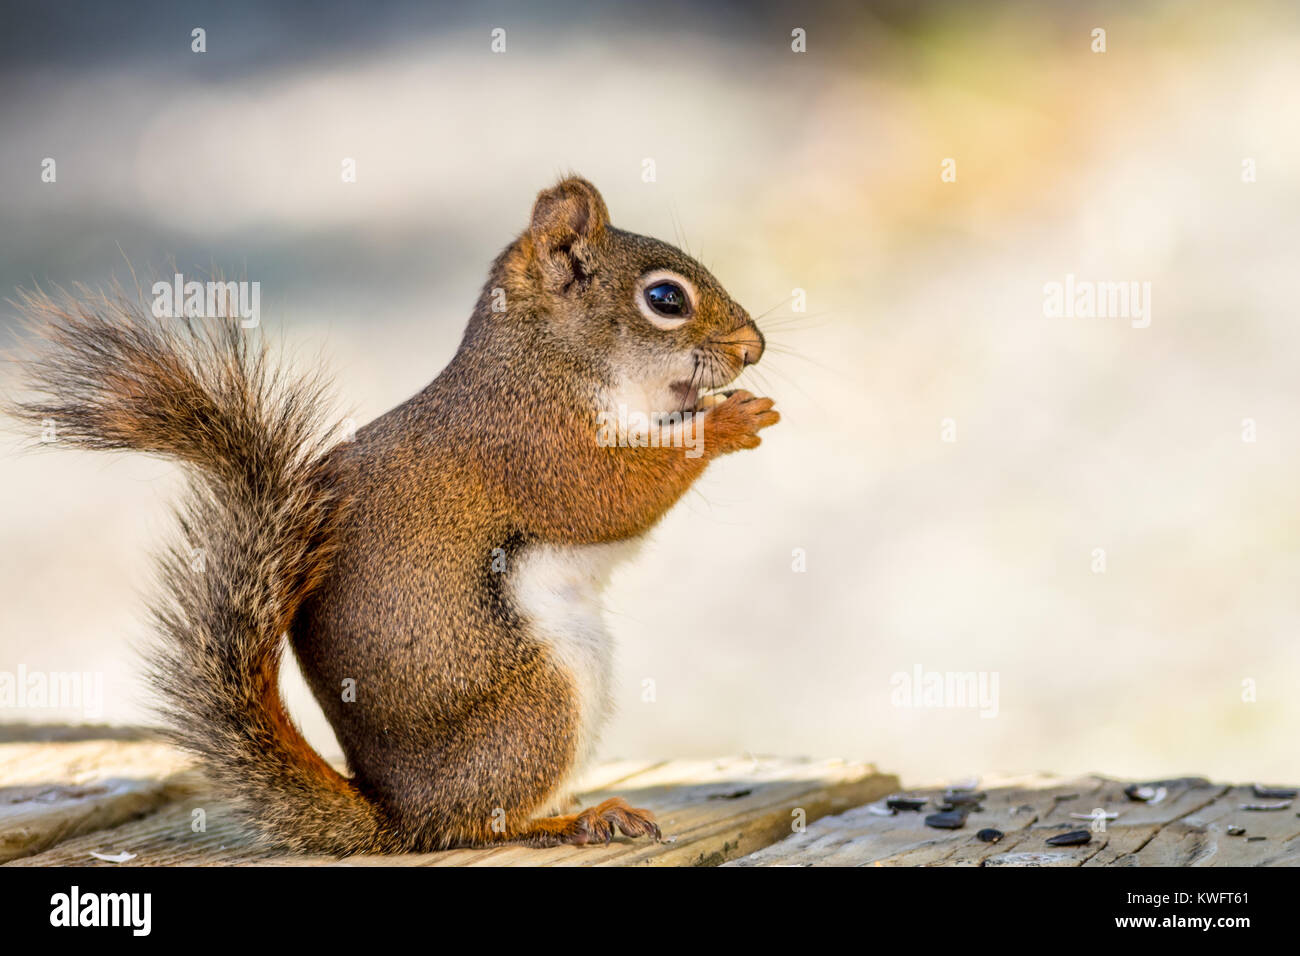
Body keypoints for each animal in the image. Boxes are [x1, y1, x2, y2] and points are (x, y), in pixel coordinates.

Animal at [7, 176, 778, 854]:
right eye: (664, 298)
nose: (754, 349)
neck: (545, 359)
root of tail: (399, 814)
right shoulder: (530, 444)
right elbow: (609, 496)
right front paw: (729, 422)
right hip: (542, 704)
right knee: (481, 824)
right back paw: (572, 821)